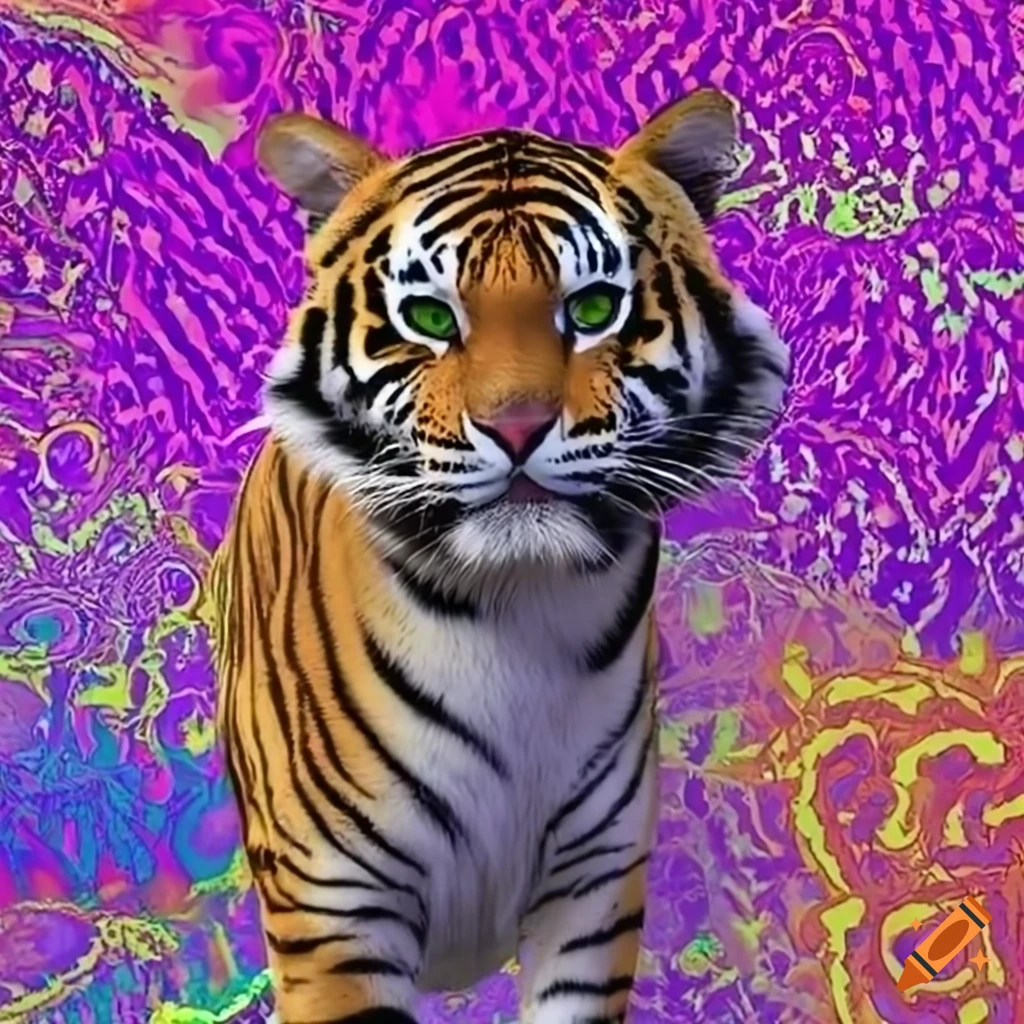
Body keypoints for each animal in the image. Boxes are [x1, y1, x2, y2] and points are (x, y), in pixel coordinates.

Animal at [208, 87, 789, 1024]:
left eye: (592, 309)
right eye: (430, 317)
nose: (517, 426)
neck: (515, 614)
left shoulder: (592, 891)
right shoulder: (336, 904)